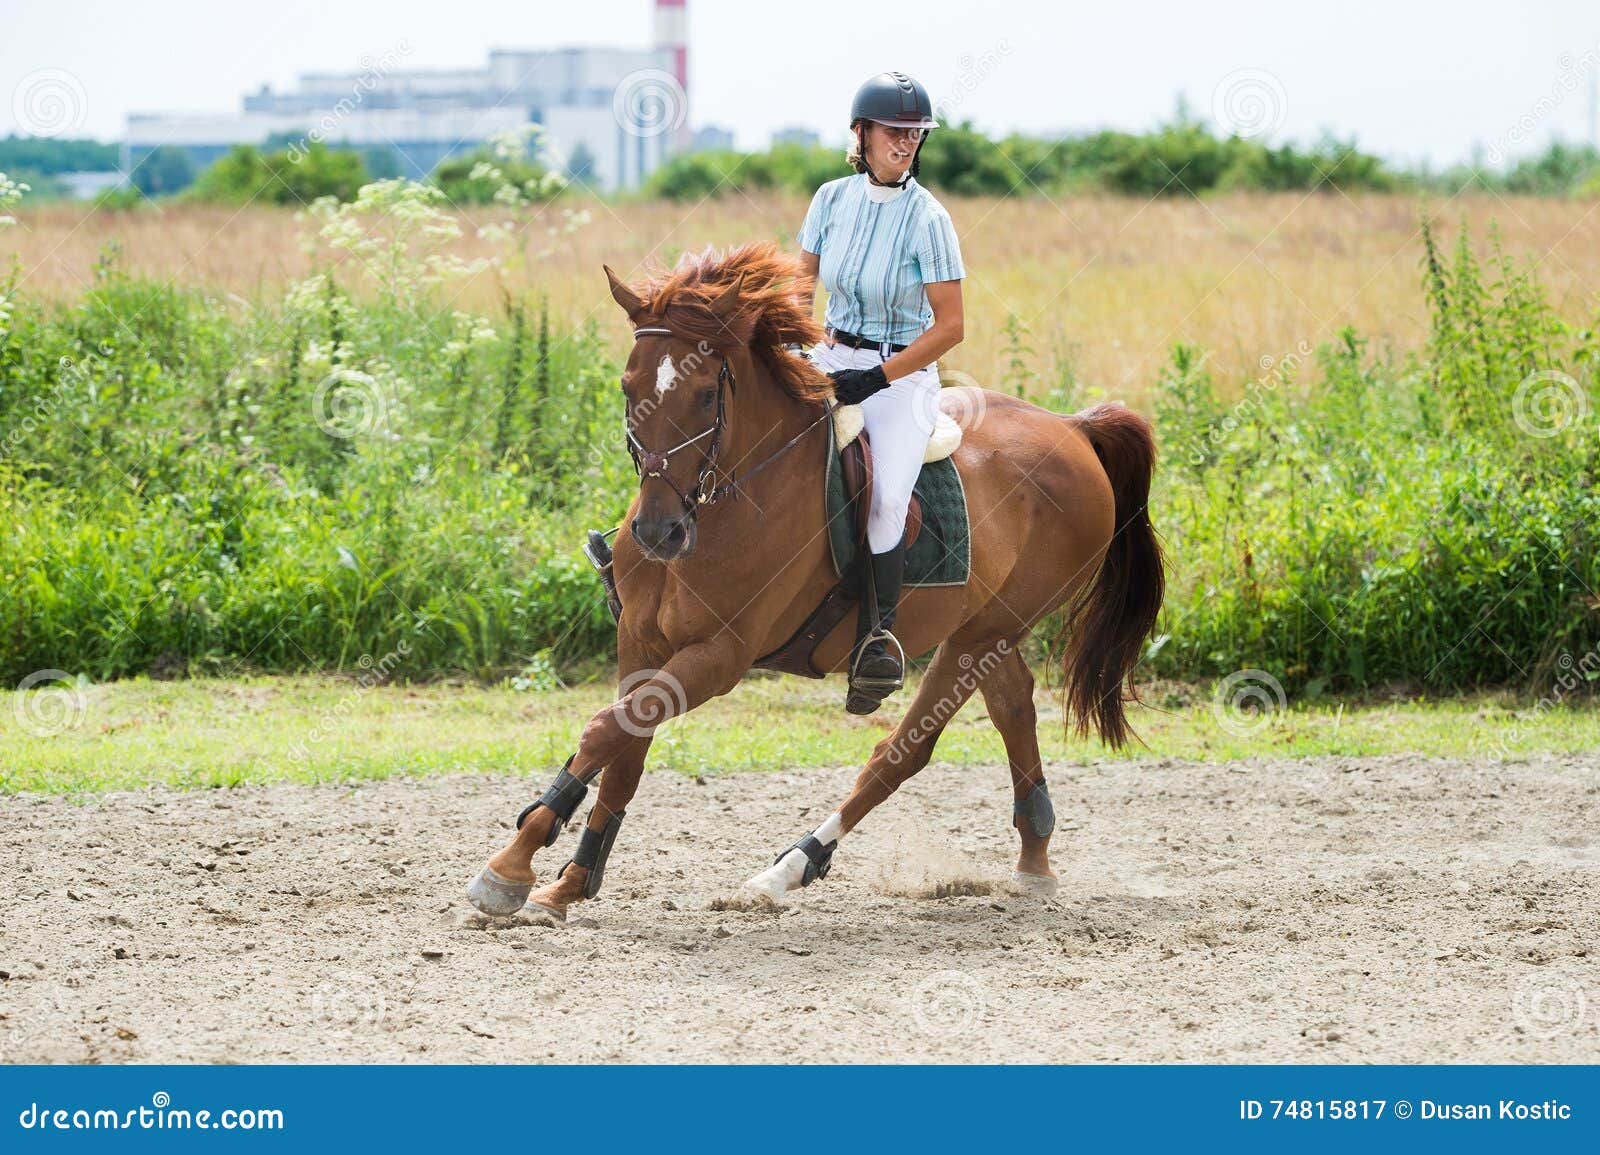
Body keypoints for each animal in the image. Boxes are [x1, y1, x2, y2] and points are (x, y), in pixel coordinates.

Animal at [467, 241, 1164, 921]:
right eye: (627, 385)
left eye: (706, 396)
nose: (658, 534)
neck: (722, 501)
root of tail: (1071, 428)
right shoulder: (641, 642)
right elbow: (623, 753)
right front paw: (568, 882)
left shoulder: (720, 656)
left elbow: (604, 730)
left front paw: (509, 868)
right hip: (985, 629)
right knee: (1014, 706)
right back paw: (1034, 861)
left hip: (981, 637)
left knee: (903, 751)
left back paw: (784, 872)